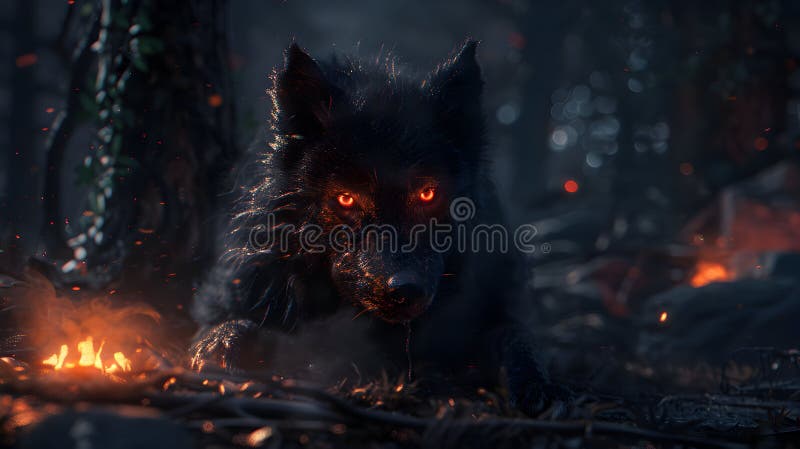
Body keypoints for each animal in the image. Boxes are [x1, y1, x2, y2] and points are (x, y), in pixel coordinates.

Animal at [190, 40, 559, 413]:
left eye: (427, 193)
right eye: (346, 199)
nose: (405, 288)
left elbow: (516, 336)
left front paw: (540, 385)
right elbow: (226, 327)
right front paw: (222, 350)